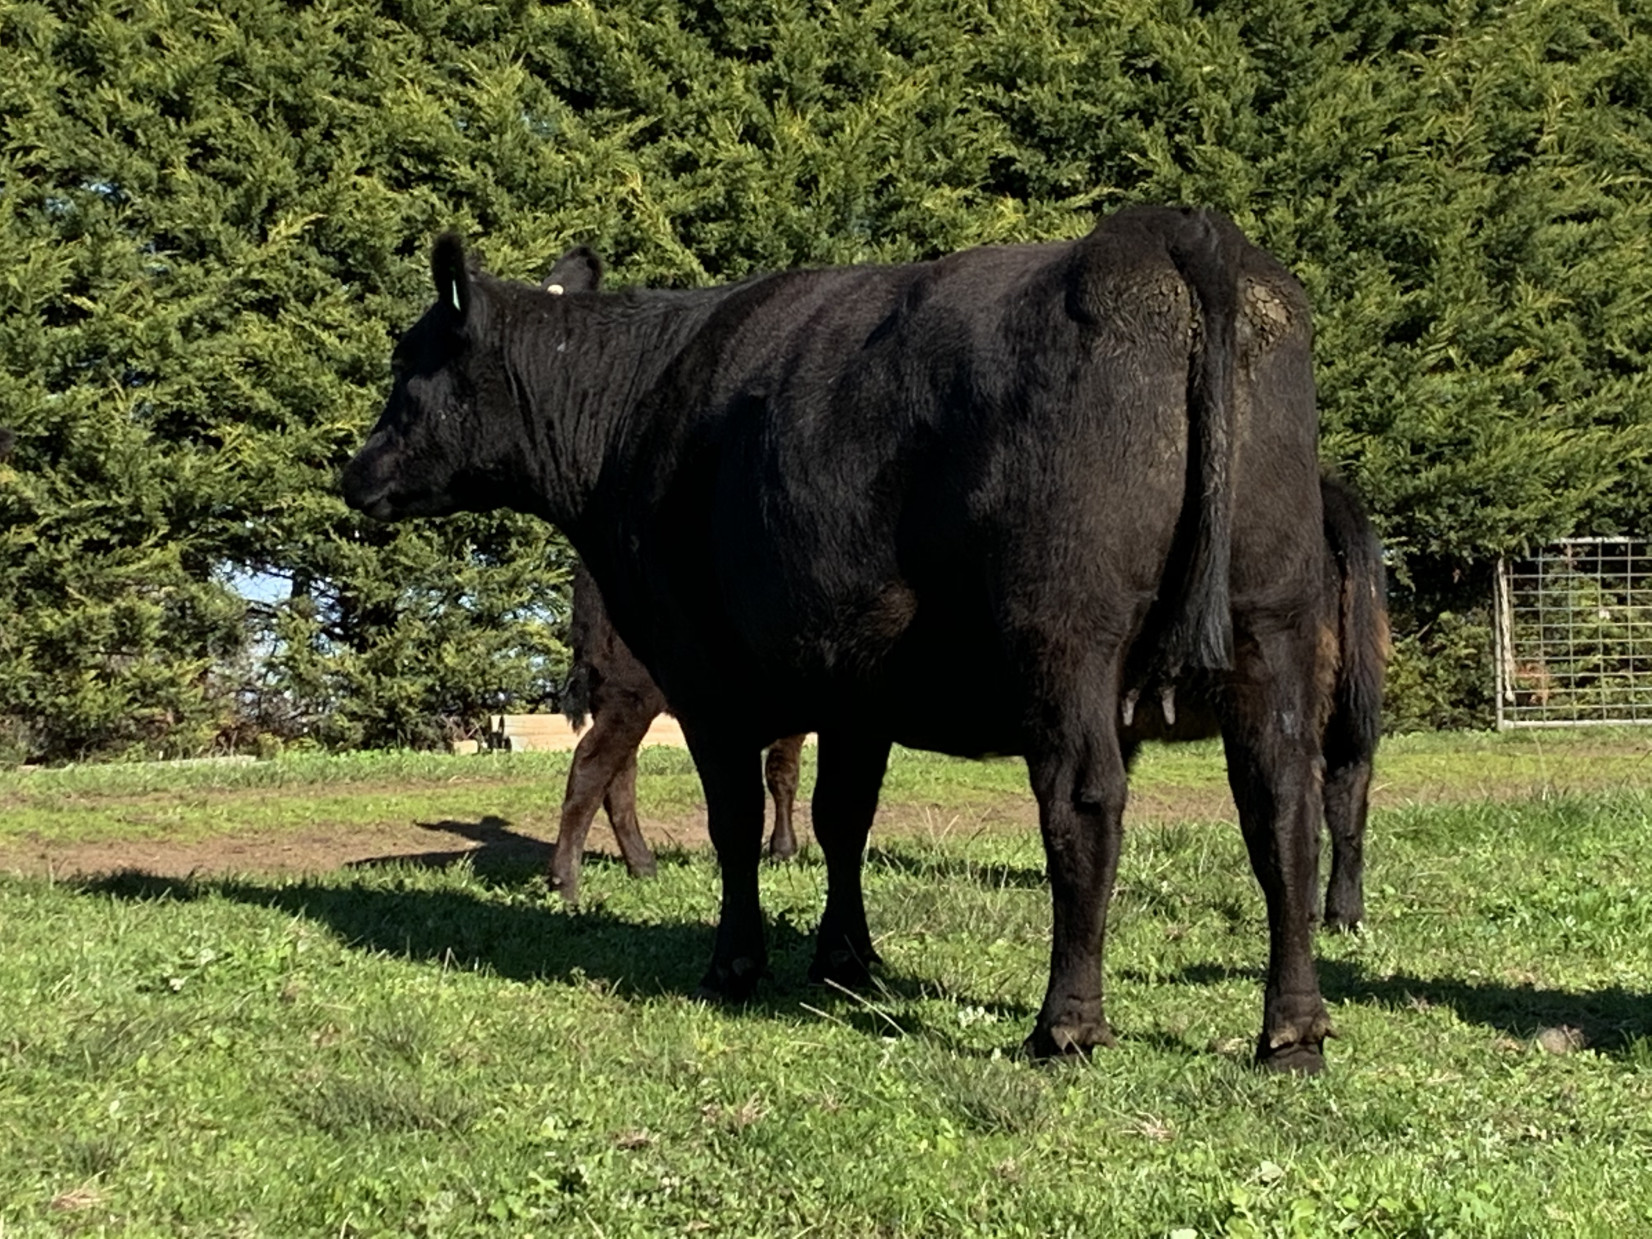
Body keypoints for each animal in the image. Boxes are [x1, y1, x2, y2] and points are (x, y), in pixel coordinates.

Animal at [552, 557, 807, 902]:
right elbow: (784, 774)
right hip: (631, 690)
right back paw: (565, 884)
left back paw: (643, 867)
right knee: (590, 768)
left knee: (619, 777)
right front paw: (784, 851)